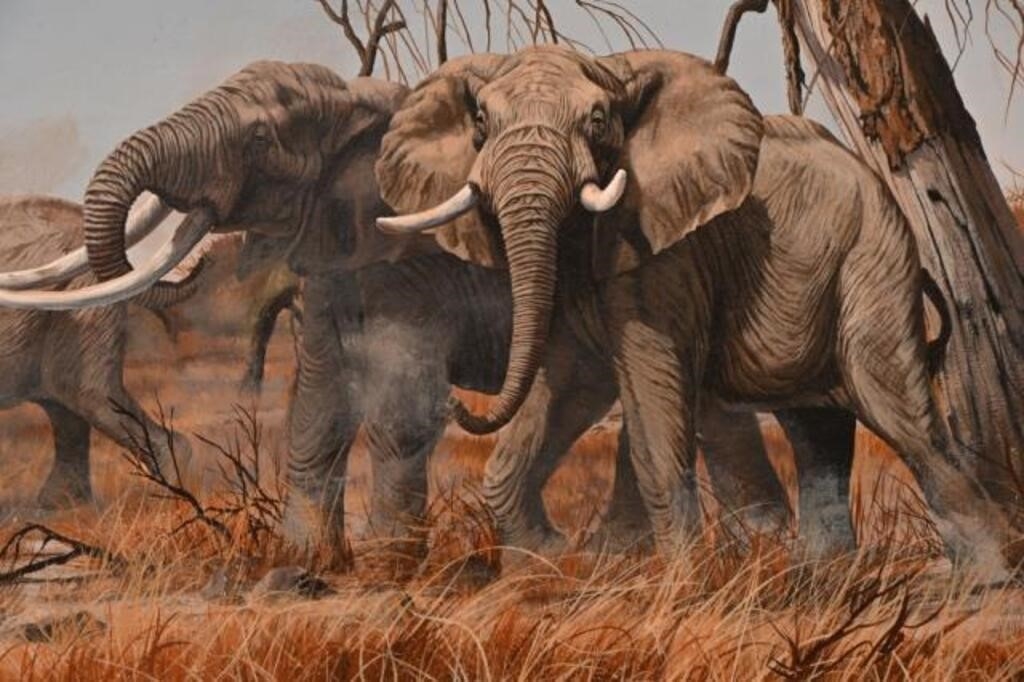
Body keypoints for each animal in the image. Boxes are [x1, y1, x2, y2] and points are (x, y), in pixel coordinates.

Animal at [374, 45, 1020, 565]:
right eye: (482, 121)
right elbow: (568, 383)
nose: (456, 404)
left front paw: (676, 579)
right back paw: (825, 581)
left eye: (598, 121)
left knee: (904, 419)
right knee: (818, 435)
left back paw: (982, 583)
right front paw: (550, 561)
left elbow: (652, 398)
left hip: (873, 264)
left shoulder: (665, 250)